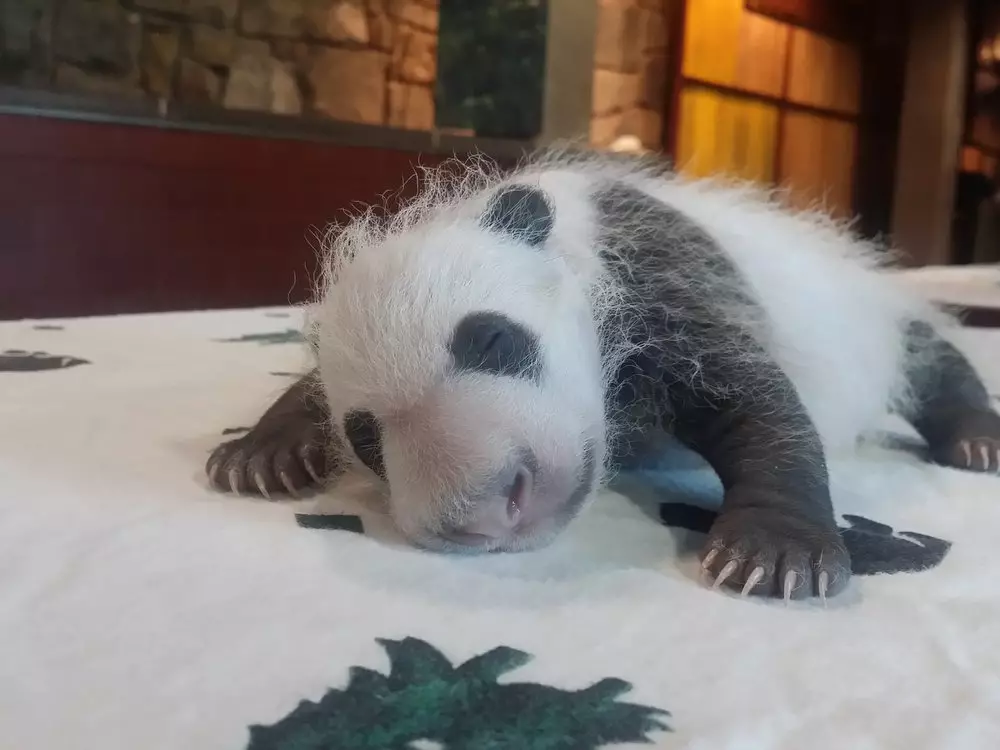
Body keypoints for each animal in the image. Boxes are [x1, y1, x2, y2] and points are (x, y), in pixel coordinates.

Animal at [203, 147, 1000, 604]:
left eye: (492, 340)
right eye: (365, 438)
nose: (486, 507)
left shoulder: (661, 273)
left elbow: (756, 400)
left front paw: (773, 553)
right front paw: (260, 453)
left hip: (866, 314)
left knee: (929, 354)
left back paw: (974, 438)